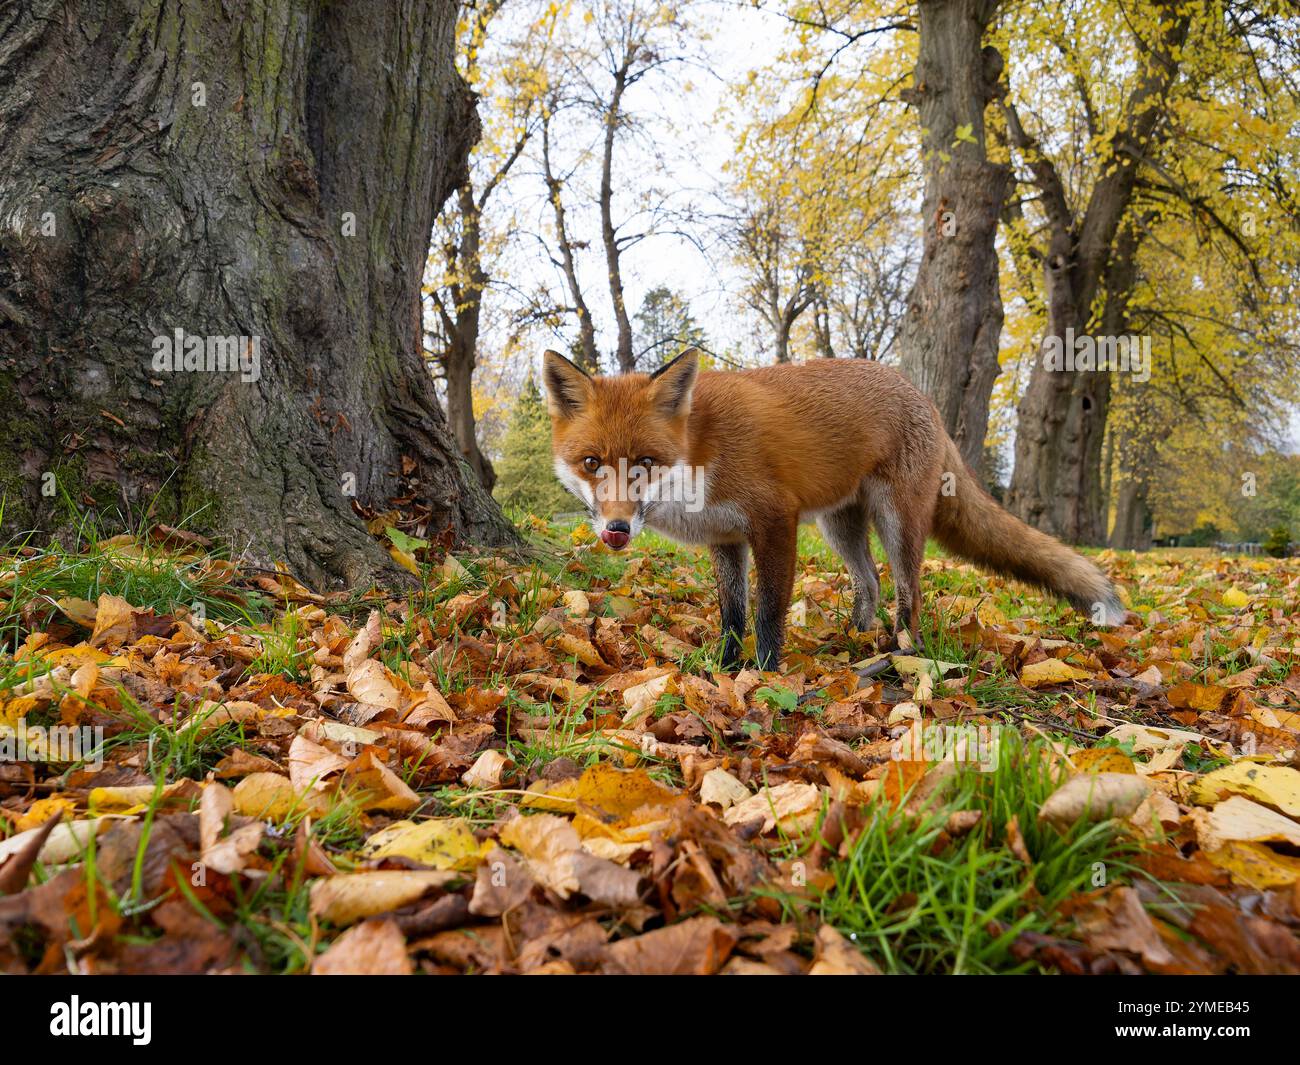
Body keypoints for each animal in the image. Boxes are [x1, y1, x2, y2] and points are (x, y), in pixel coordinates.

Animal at [542, 346, 1125, 672]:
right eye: (592, 462)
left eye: (645, 462)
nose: (616, 529)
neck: (700, 452)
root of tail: (924, 398)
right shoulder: (725, 538)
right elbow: (731, 614)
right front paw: (725, 667)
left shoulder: (774, 521)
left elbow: (768, 611)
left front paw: (763, 674)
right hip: (838, 525)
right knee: (868, 581)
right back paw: (855, 639)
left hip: (897, 521)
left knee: (908, 591)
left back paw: (902, 653)